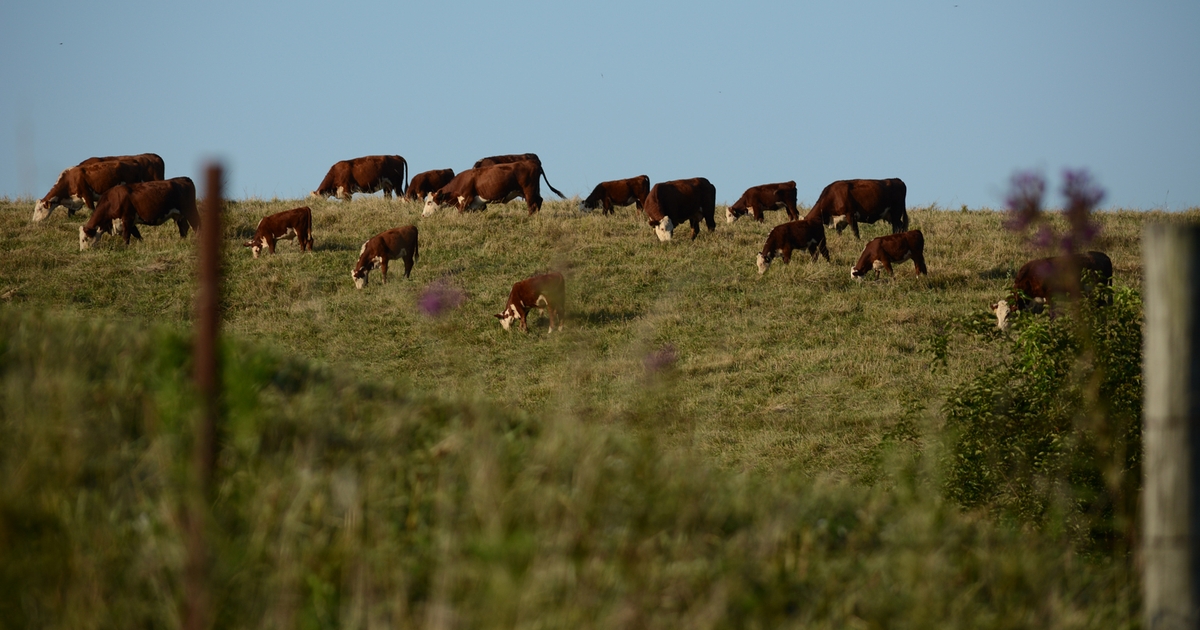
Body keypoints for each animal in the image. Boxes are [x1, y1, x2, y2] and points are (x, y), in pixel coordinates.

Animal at [33, 158, 162, 222]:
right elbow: (70, 213)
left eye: (39, 209)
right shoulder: (74, 201)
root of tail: (134, 161)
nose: (34, 221)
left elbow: (92, 210)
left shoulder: (87, 194)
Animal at [423, 161, 555, 216]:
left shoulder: (466, 199)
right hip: (533, 190)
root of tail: (532, 163)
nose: (423, 215)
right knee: (539, 201)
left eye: (429, 202)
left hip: (529, 190)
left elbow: (460, 212)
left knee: (532, 205)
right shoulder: (478, 204)